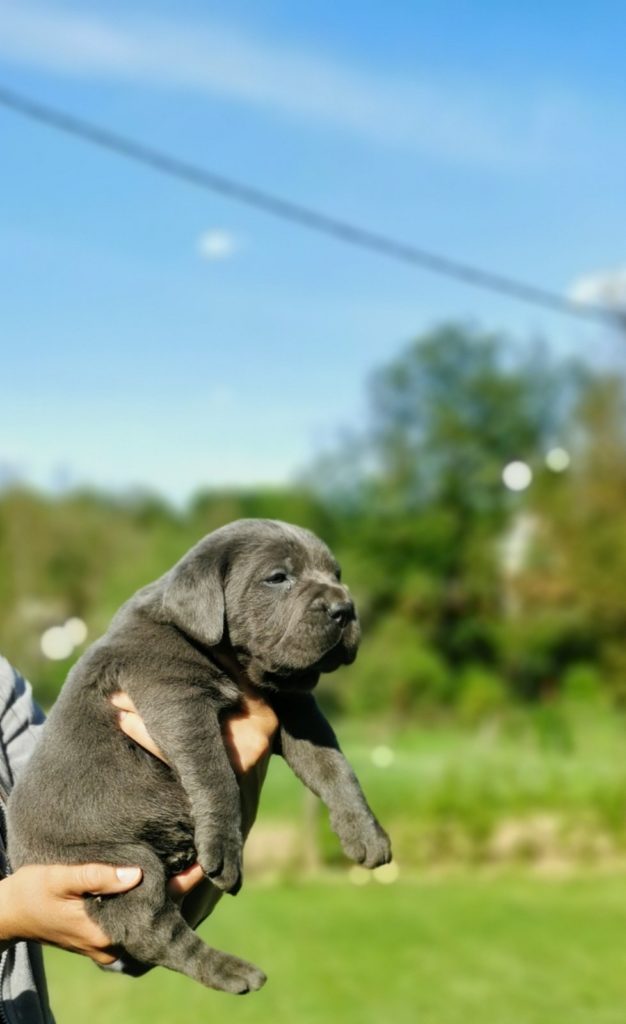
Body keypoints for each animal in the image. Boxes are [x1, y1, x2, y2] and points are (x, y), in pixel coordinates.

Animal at [7, 520, 391, 991]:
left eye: (337, 574)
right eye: (278, 577)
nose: (344, 608)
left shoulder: (294, 707)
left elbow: (333, 765)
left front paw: (365, 832)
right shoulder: (175, 696)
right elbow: (214, 772)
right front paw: (223, 844)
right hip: (118, 864)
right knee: (152, 931)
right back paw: (232, 971)